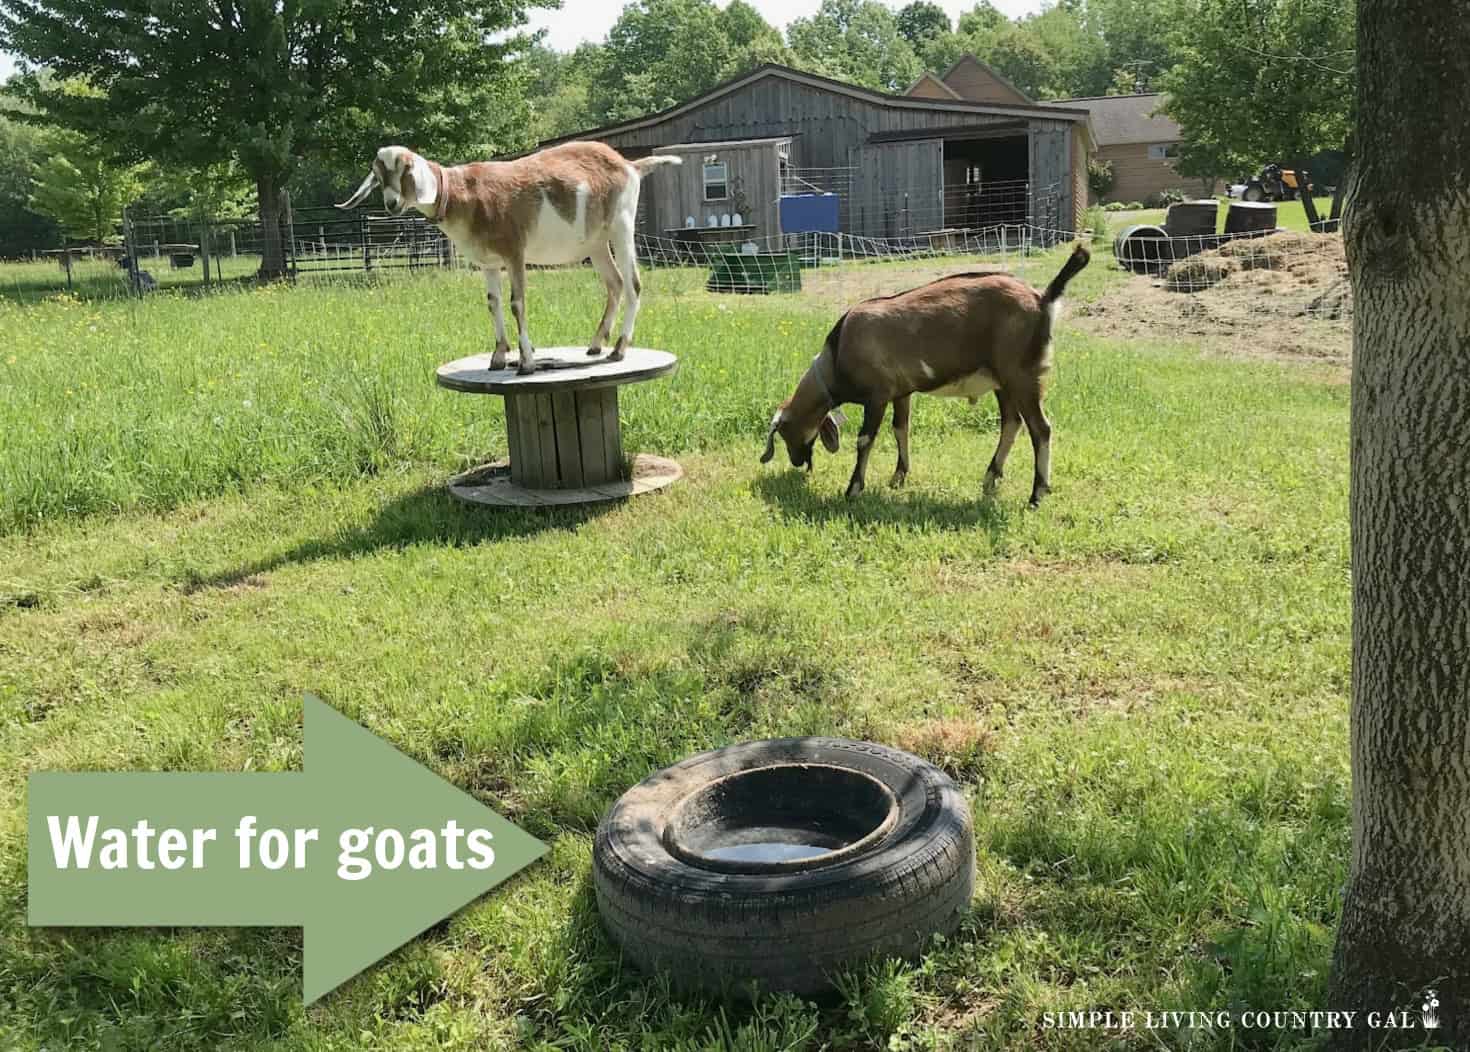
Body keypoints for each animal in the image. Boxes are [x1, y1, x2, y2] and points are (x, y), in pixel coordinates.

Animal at [337, 142, 681, 374]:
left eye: (404, 170)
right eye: (379, 175)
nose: (391, 204)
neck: (466, 195)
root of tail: (630, 165)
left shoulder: (514, 251)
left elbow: (518, 303)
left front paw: (526, 362)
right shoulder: (488, 263)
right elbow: (493, 303)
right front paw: (499, 356)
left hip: (622, 226)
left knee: (633, 284)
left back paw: (619, 349)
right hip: (596, 243)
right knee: (615, 284)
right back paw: (597, 344)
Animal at [760, 244, 1091, 507]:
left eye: (784, 431)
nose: (796, 461)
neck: (838, 351)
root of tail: (1042, 299)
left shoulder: (877, 395)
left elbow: (865, 439)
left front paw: (853, 488)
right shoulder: (901, 392)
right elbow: (900, 429)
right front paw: (898, 477)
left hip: (1022, 375)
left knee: (1040, 429)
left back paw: (1037, 494)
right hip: (1003, 381)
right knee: (1012, 423)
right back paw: (990, 478)